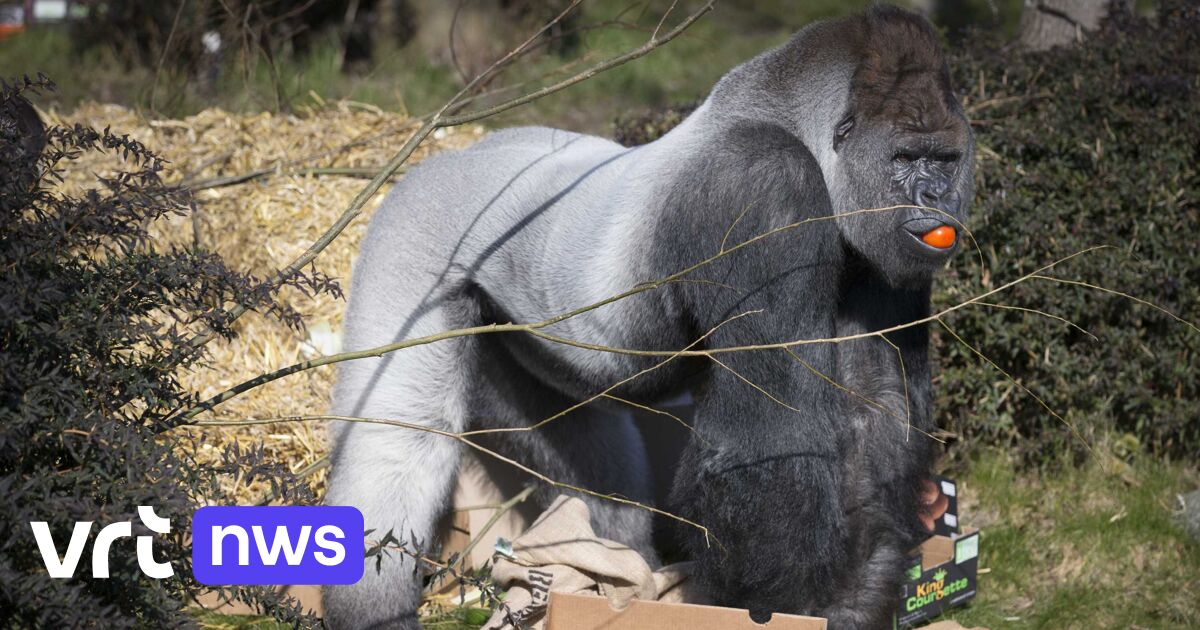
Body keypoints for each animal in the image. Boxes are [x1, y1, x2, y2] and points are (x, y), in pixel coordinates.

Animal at [323, 5, 973, 629]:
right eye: (906, 159)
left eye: (946, 161)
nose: (936, 200)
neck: (792, 124)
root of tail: (445, 151)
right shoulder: (763, 188)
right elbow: (771, 440)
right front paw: (797, 604)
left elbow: (875, 414)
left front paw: (858, 598)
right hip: (413, 227)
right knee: (398, 437)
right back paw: (373, 612)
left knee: (591, 466)